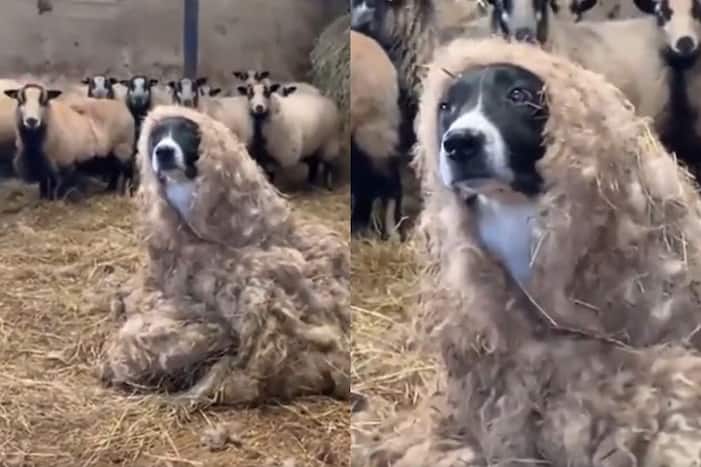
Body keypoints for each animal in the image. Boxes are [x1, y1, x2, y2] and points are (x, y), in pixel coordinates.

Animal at [5, 84, 135, 200]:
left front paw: (54, 200)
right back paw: (109, 189)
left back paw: (123, 193)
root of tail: (124, 108)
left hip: (123, 148)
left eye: (44, 101)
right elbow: (43, 184)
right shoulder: (43, 165)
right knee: (115, 171)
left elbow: (54, 186)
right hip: (110, 153)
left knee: (126, 172)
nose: (31, 121)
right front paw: (43, 199)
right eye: (20, 101)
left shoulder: (63, 163)